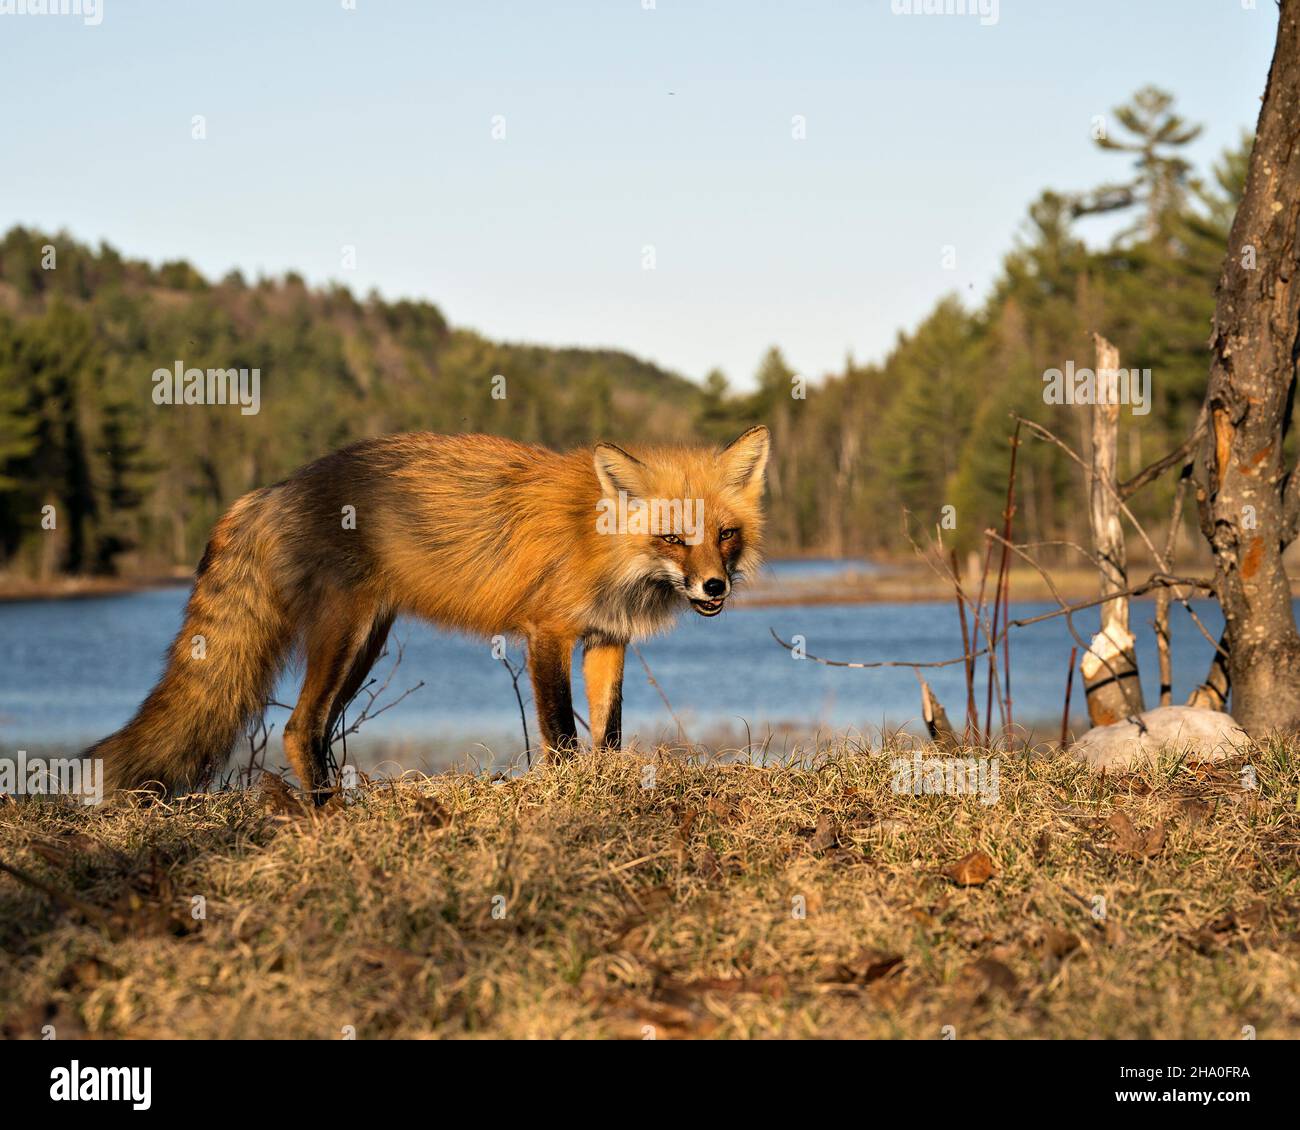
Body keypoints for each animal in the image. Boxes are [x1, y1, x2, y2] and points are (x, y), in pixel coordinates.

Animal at [88, 425, 770, 797]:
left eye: (725, 535)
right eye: (674, 538)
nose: (715, 587)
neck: (601, 543)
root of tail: (278, 486)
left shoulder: (606, 639)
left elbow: (610, 733)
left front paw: (607, 789)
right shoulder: (547, 632)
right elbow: (562, 736)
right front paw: (571, 797)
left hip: (366, 642)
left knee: (314, 728)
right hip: (345, 633)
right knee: (297, 727)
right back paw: (328, 817)